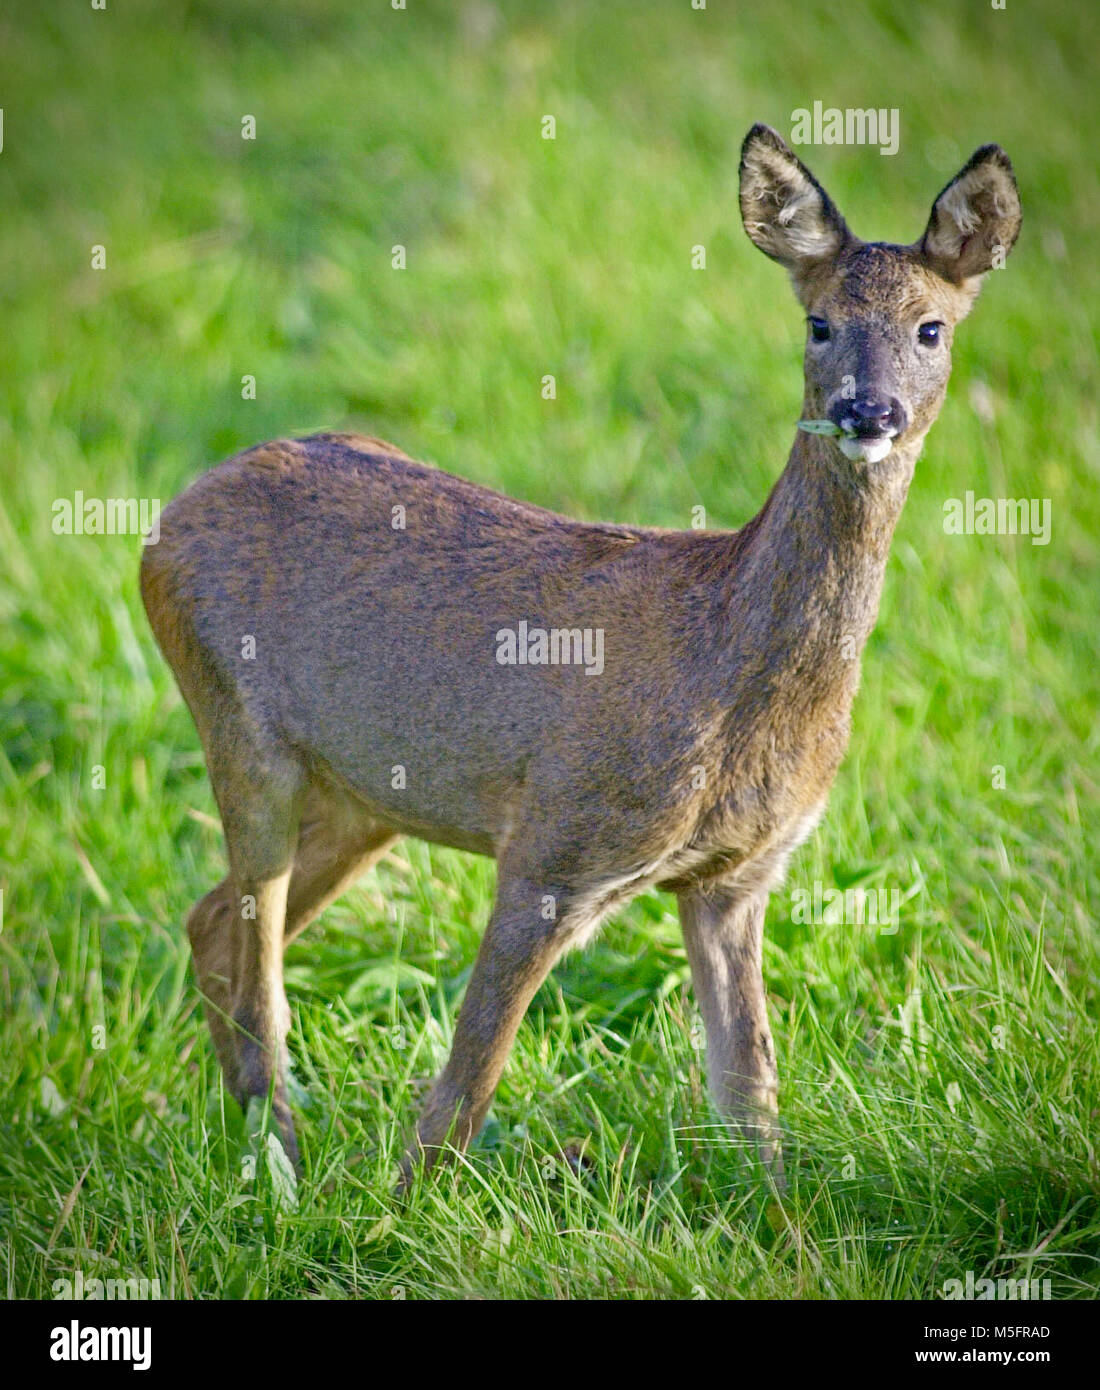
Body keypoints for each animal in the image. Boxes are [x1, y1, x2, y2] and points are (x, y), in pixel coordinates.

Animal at [140, 124, 1021, 1184]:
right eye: (818, 322)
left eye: (931, 328)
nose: (869, 412)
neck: (731, 670)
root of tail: (165, 520)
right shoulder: (555, 847)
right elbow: (467, 1085)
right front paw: (397, 1211)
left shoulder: (736, 878)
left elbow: (752, 1098)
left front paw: (782, 1216)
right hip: (239, 725)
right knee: (255, 955)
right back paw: (279, 1164)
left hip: (367, 797)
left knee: (210, 923)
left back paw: (256, 1143)